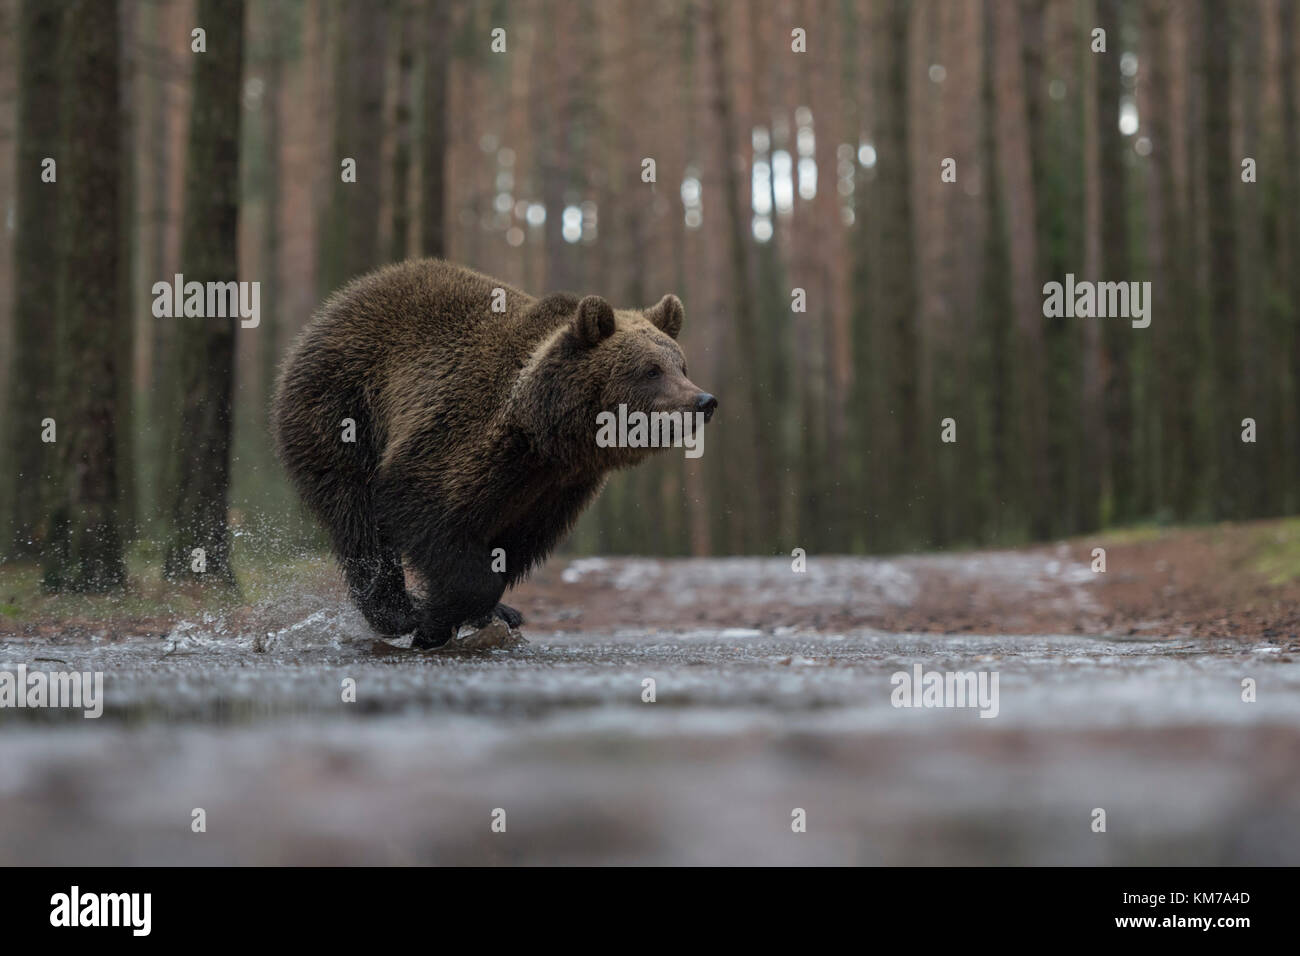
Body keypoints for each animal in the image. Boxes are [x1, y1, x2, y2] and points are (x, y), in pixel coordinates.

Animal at [271, 259, 716, 649]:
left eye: (681, 365)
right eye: (651, 370)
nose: (703, 402)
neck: (545, 437)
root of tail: (334, 306)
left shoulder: (553, 492)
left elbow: (511, 549)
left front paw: (481, 611)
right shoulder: (456, 437)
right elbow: (420, 507)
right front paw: (431, 621)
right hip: (343, 412)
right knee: (357, 523)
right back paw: (395, 611)